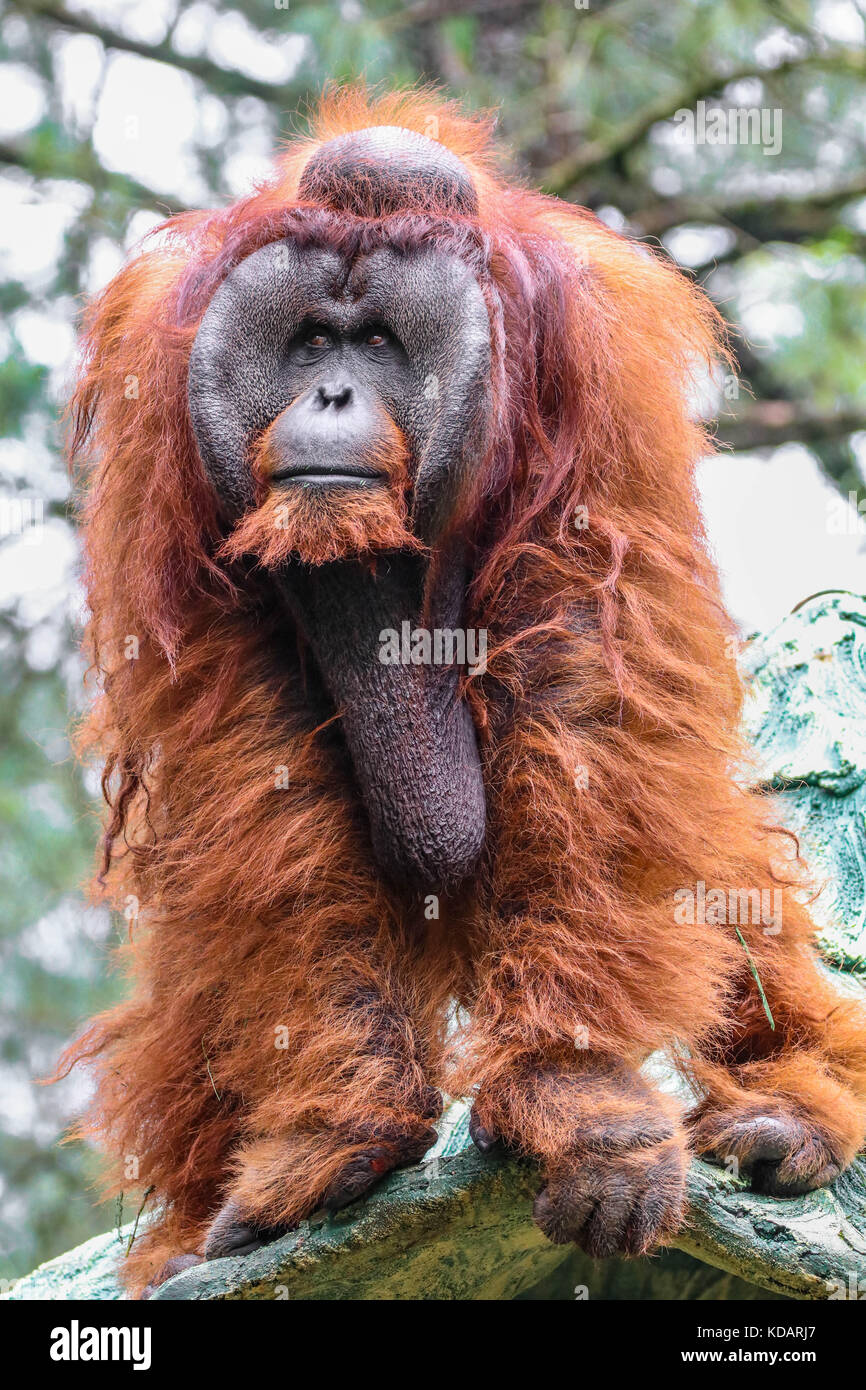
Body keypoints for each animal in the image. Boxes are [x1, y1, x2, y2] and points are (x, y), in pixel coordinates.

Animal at [58, 88, 866, 1296]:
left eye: (381, 344)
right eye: (311, 339)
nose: (331, 390)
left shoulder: (591, 367)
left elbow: (589, 704)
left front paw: (579, 1100)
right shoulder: (161, 430)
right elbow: (251, 763)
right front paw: (336, 1144)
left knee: (709, 860)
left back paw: (788, 1112)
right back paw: (181, 1234)